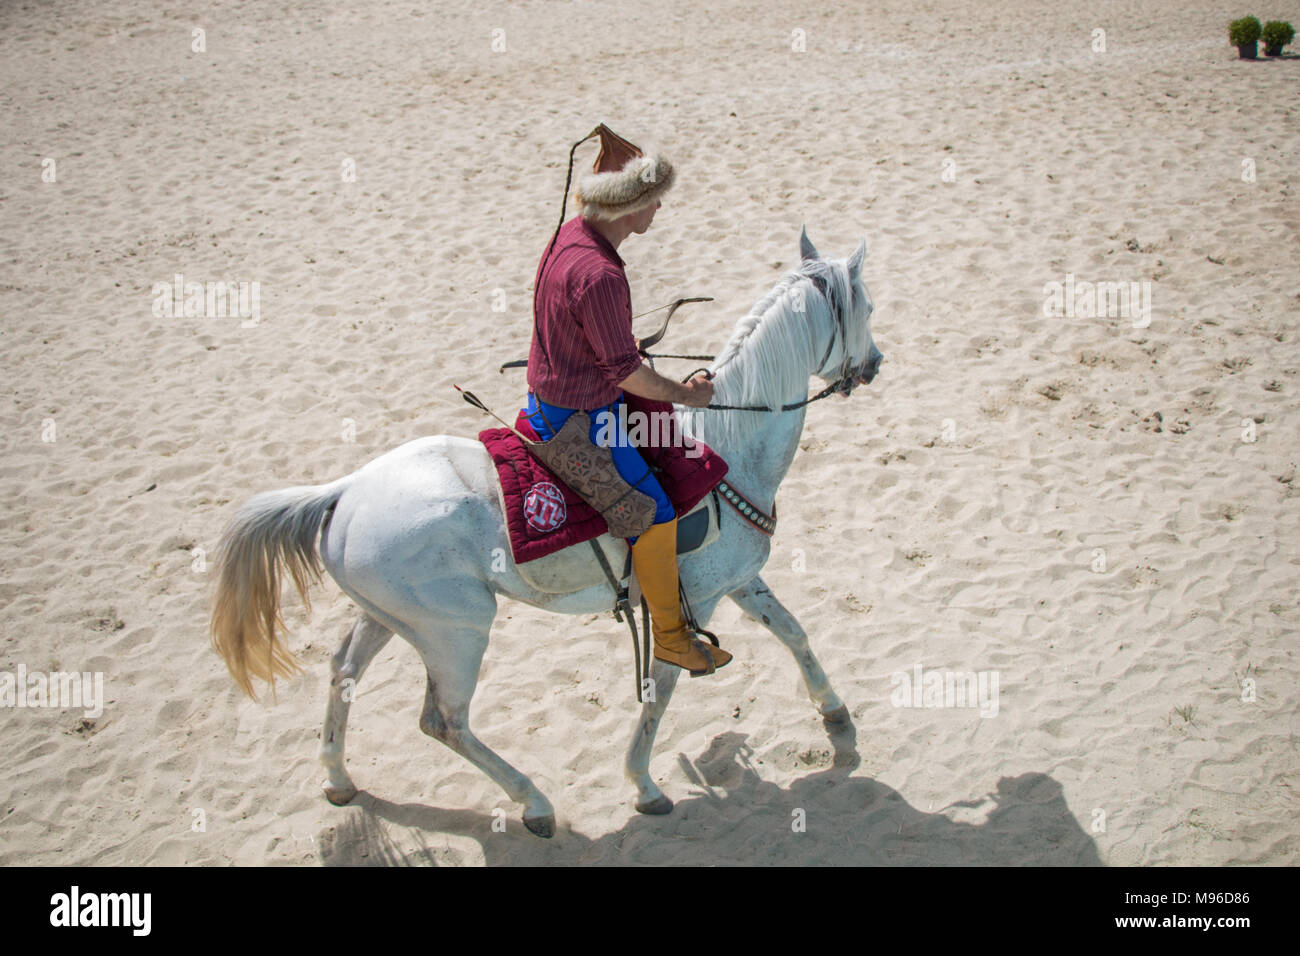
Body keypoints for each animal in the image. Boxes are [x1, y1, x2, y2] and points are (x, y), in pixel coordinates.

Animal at [209, 226, 884, 838]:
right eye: (869, 308)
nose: (875, 364)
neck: (728, 446)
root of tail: (346, 490)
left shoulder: (739, 582)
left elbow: (793, 633)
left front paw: (835, 715)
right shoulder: (693, 603)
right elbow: (661, 687)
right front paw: (643, 783)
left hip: (386, 617)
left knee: (343, 672)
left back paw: (337, 777)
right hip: (455, 634)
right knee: (444, 720)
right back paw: (533, 803)